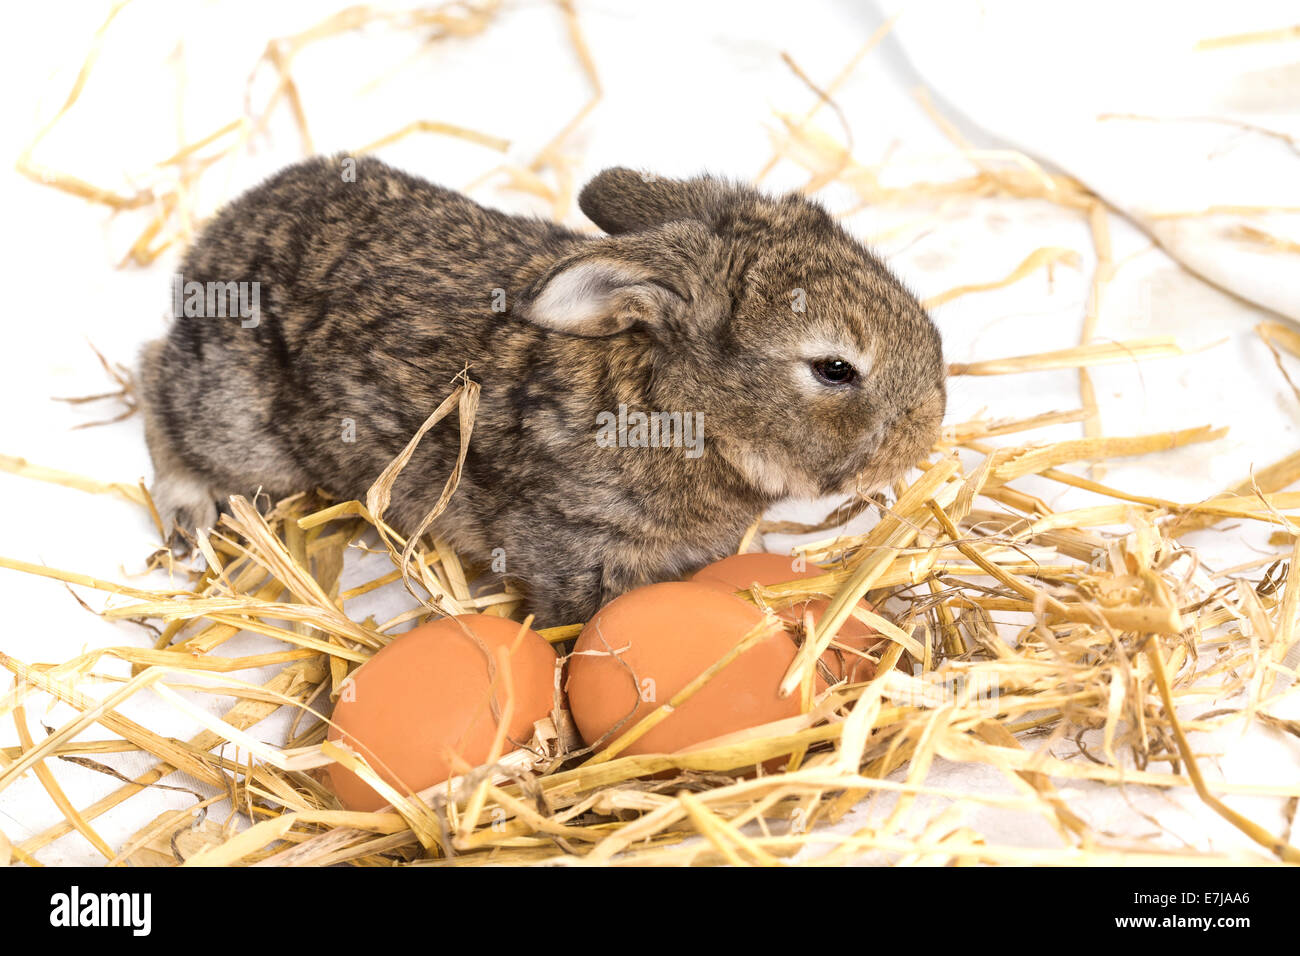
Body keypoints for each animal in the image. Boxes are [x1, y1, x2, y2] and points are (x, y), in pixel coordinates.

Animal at [139, 156, 946, 626]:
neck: (671, 404)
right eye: (834, 369)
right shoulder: (575, 553)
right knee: (157, 386)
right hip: (243, 425)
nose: (932, 421)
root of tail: (208, 253)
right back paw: (188, 515)